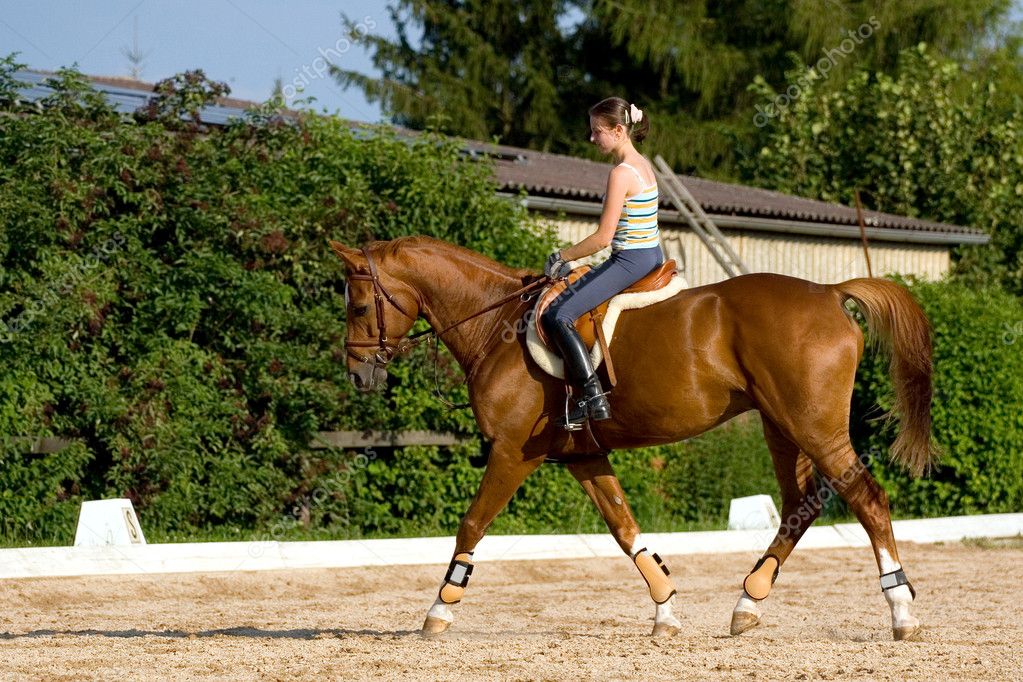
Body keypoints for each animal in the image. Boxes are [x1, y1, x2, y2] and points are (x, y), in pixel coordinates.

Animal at [330, 235, 938, 641]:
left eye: (358, 306)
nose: (359, 376)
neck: (496, 328)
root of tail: (831, 293)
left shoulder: (511, 453)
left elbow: (472, 524)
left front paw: (439, 610)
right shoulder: (583, 456)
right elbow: (625, 531)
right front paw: (665, 611)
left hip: (811, 424)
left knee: (866, 499)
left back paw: (901, 611)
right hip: (781, 424)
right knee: (799, 505)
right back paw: (748, 603)